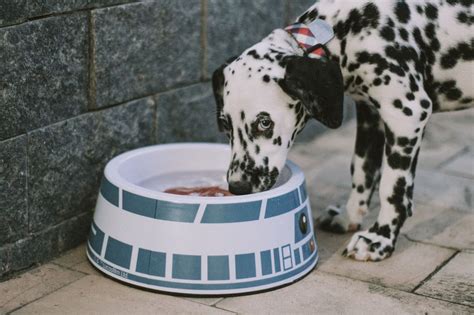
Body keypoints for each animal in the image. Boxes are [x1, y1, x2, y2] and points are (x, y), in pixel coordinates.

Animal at [212, 0, 474, 262]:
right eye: (225, 124)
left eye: (264, 123)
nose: (238, 187)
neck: (345, 29)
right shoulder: (370, 114)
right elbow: (362, 169)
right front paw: (351, 216)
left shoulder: (407, 114)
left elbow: (393, 187)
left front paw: (380, 238)